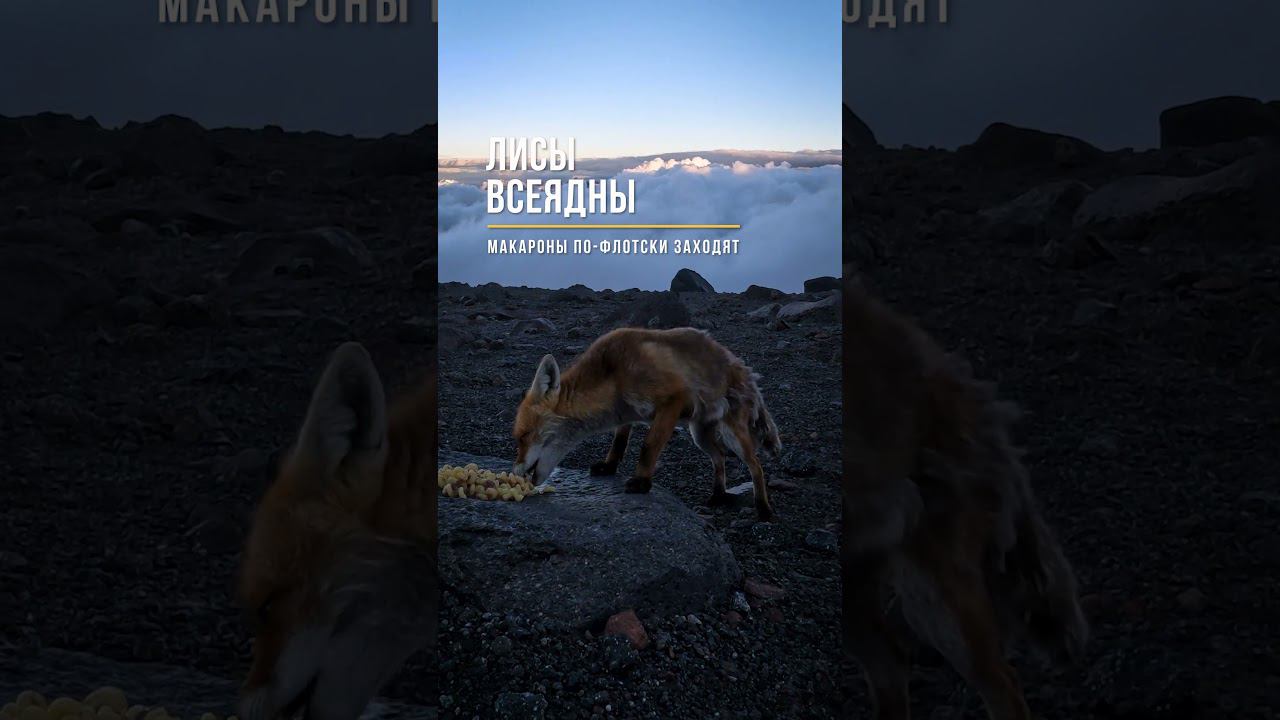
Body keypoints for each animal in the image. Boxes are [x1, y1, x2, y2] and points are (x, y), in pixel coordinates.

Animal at [512, 326, 782, 520]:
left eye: (524, 436)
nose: (514, 473)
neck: (614, 374)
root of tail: (743, 368)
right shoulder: (627, 414)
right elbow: (619, 443)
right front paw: (609, 466)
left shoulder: (673, 401)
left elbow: (648, 446)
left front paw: (642, 481)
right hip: (700, 435)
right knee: (720, 458)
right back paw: (718, 495)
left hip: (734, 436)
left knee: (756, 466)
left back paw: (763, 509)